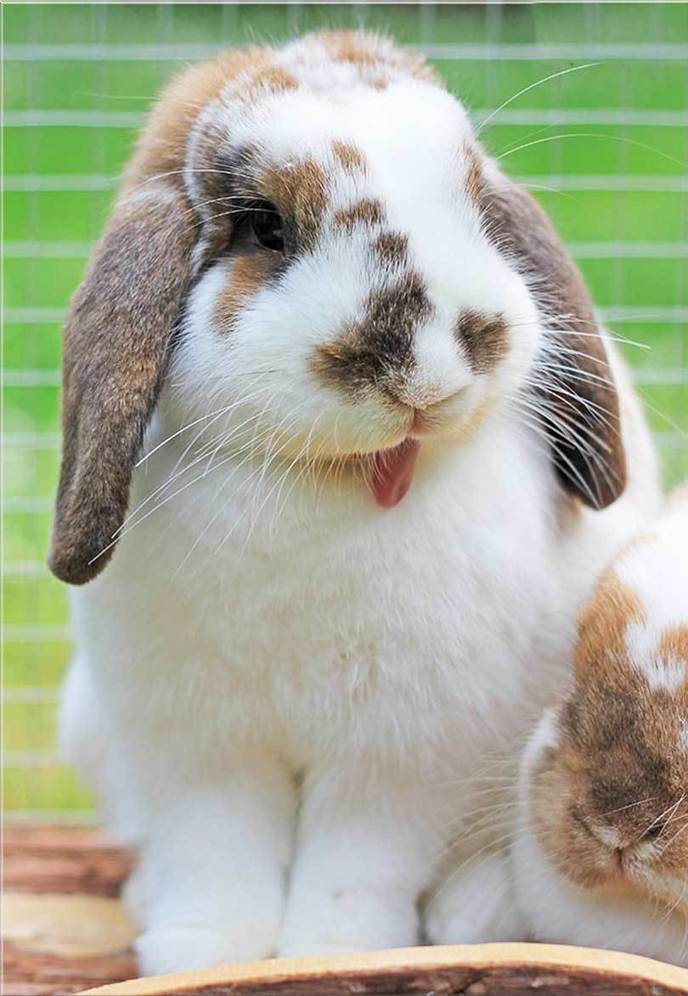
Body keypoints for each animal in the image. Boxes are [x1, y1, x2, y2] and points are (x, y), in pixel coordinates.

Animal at [50, 31, 660, 974]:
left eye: (475, 205)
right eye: (265, 225)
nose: (433, 369)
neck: (326, 480)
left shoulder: (400, 751)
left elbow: (356, 862)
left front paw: (331, 951)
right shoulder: (195, 743)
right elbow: (214, 850)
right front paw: (203, 952)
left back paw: (470, 914)